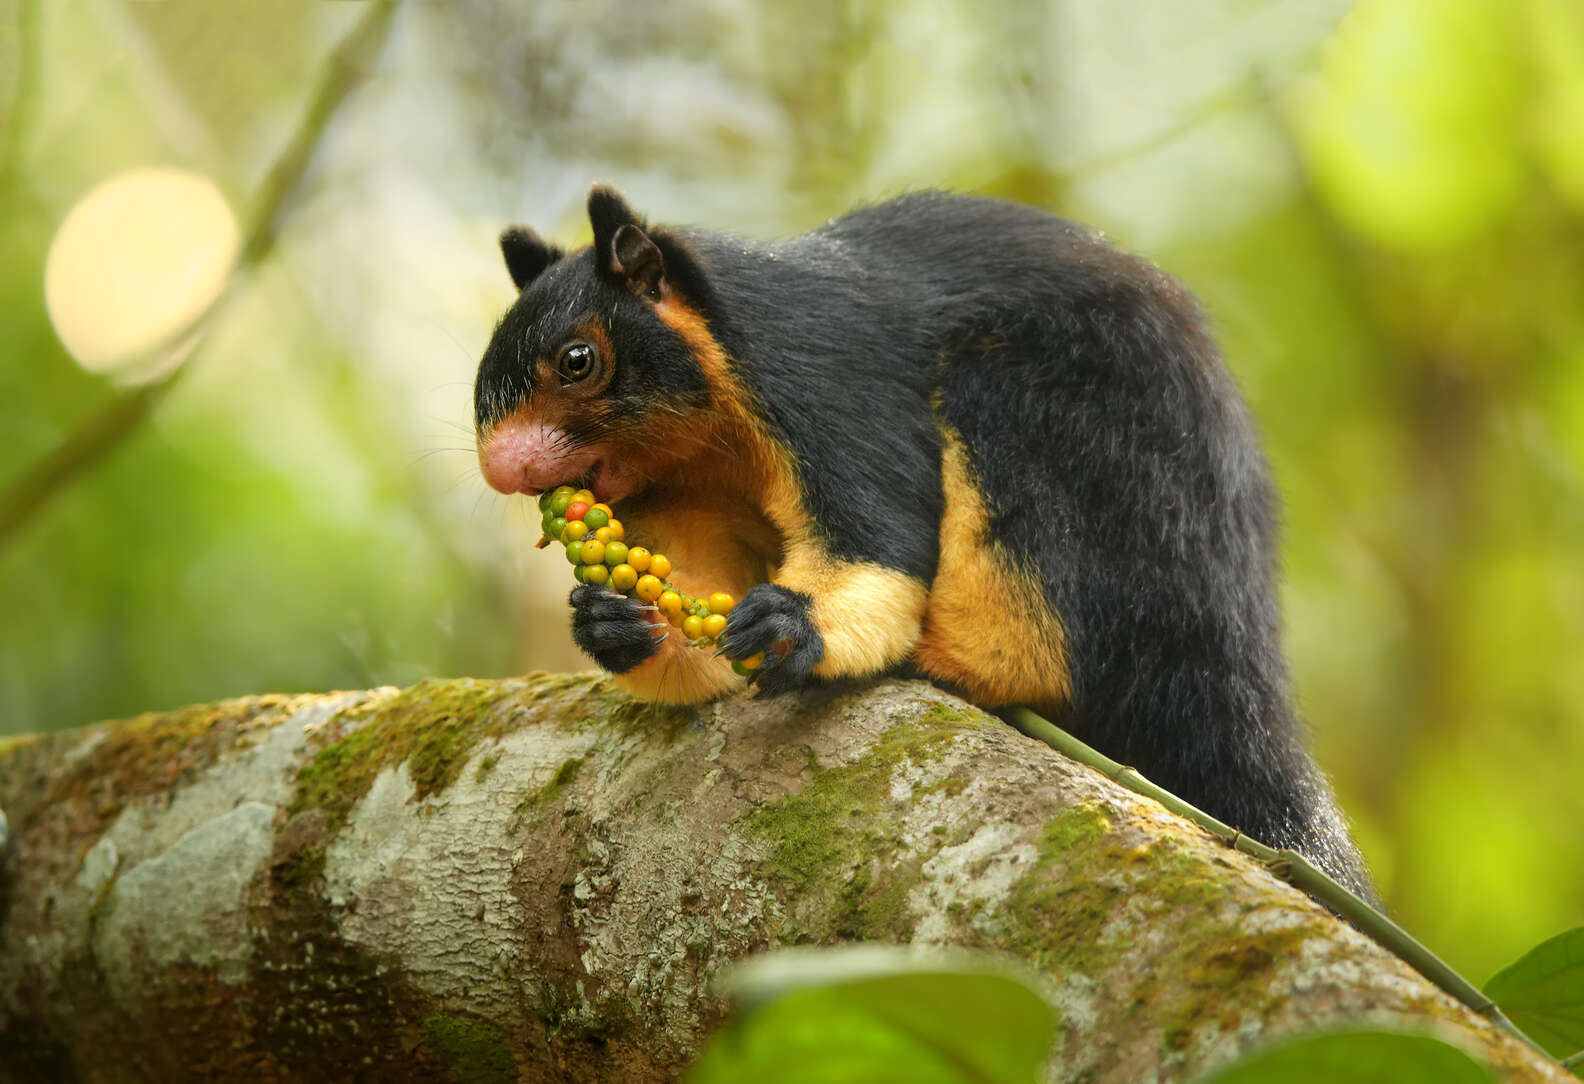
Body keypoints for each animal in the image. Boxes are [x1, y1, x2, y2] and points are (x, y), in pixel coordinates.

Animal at [473, 185, 1375, 899]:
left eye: (579, 360)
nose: (502, 468)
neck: (710, 435)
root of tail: (1232, 634)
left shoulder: (827, 381)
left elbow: (872, 541)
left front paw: (798, 626)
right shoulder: (678, 499)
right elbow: (706, 597)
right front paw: (619, 623)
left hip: (1064, 442)